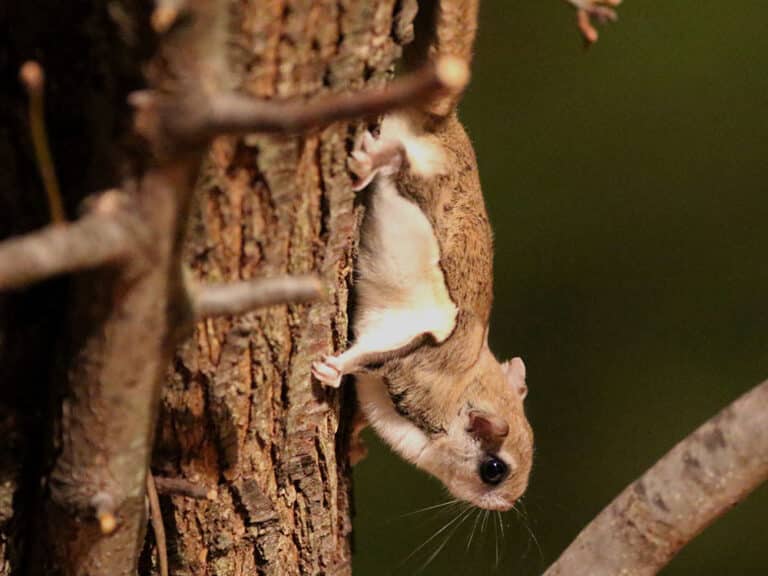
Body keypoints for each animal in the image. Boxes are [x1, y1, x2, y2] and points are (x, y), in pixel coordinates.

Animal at [312, 0, 533, 511]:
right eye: (494, 469)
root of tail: (441, 120)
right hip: (424, 185)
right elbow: (370, 355)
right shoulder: (409, 362)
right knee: (404, 165)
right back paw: (374, 160)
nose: (504, 505)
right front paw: (332, 369)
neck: (468, 379)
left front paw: (354, 444)